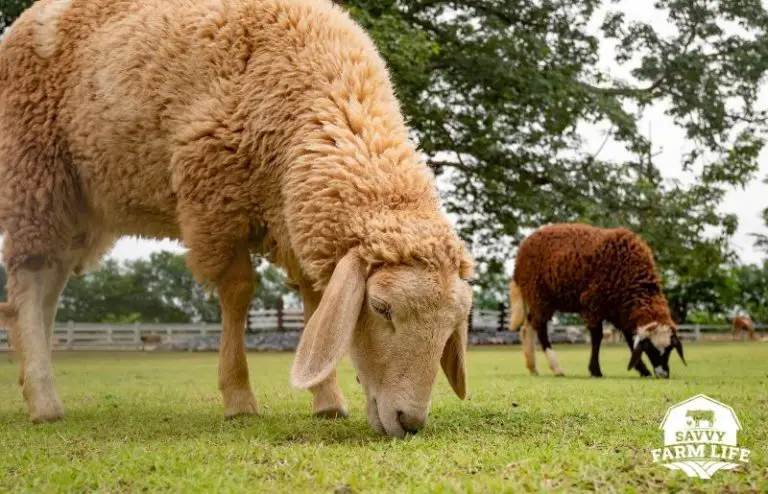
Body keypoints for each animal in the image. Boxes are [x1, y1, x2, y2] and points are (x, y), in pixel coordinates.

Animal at [0, 0, 474, 438]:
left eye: (454, 323)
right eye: (381, 308)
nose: (409, 421)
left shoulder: (288, 212)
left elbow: (314, 298)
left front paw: (327, 400)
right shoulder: (214, 200)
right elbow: (238, 291)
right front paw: (239, 399)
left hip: (80, 208)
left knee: (48, 288)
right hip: (34, 171)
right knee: (29, 282)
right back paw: (43, 401)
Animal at [508, 223, 685, 378]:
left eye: (670, 349)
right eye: (650, 348)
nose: (663, 374)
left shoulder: (620, 310)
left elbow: (630, 339)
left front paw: (643, 370)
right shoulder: (593, 304)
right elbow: (597, 337)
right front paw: (595, 370)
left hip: (538, 298)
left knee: (528, 326)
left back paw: (533, 368)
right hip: (539, 294)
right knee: (540, 328)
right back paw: (557, 368)